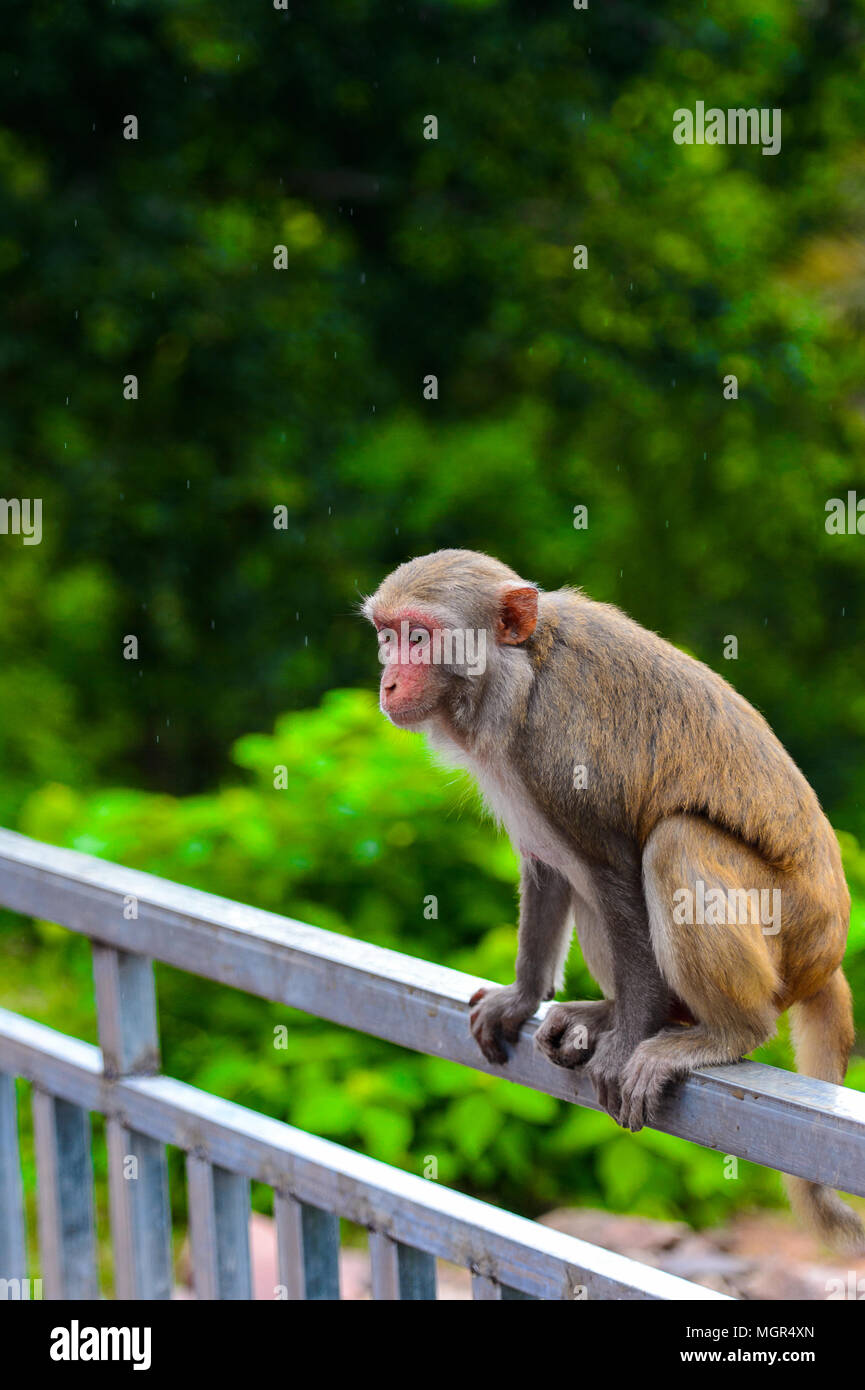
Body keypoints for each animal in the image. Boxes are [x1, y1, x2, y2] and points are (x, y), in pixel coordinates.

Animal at [362, 548, 864, 1253]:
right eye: (386, 636)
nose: (387, 683)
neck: (518, 675)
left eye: (418, 637)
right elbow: (547, 867)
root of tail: (826, 960)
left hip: (784, 933)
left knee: (673, 841)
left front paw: (627, 1039)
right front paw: (523, 996)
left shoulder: (558, 744)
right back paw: (620, 1013)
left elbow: (616, 867)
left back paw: (715, 1031)